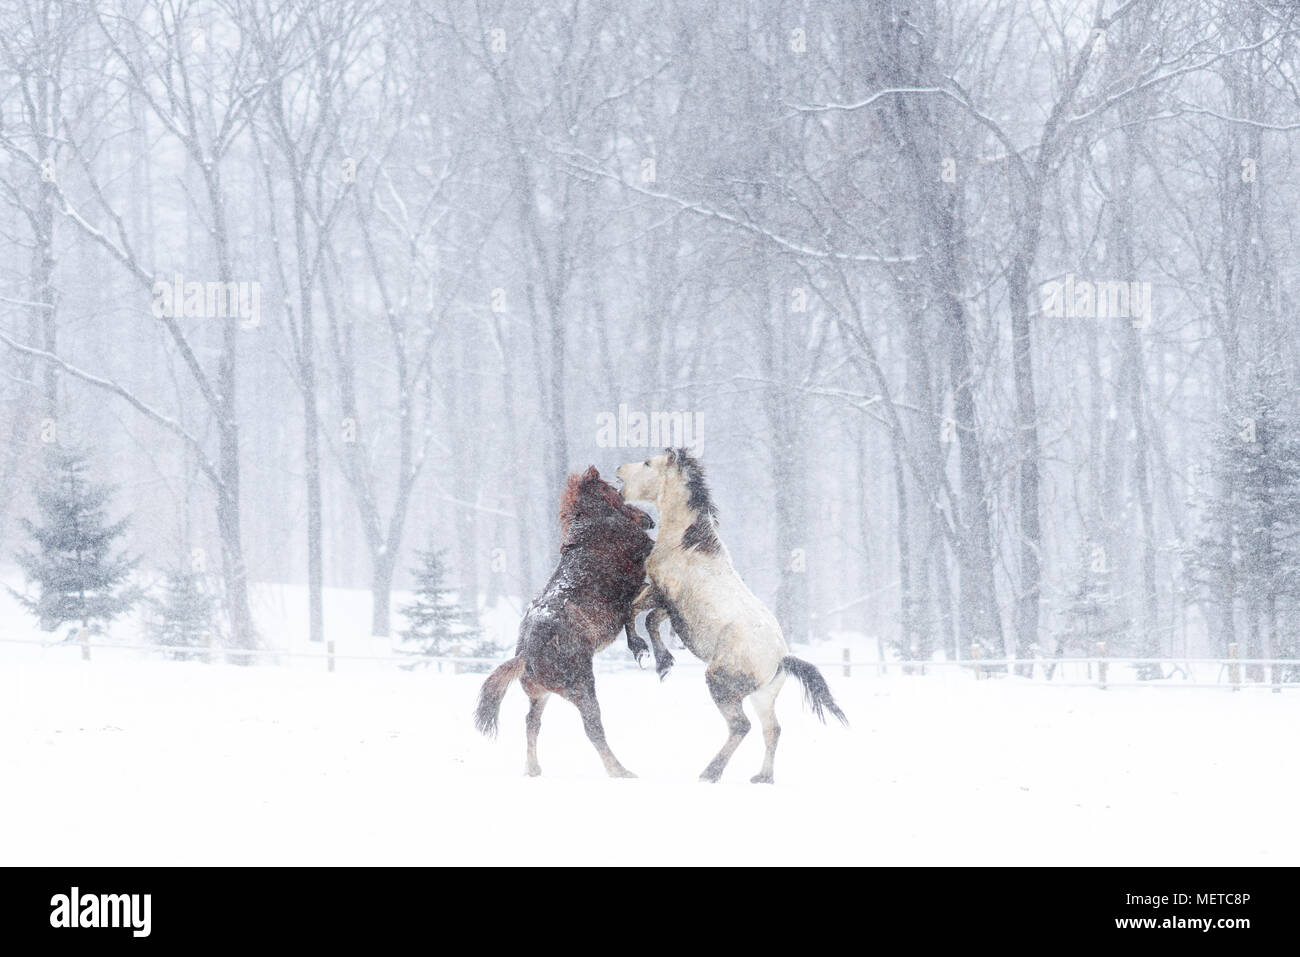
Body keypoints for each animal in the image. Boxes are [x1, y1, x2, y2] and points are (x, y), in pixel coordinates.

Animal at [474, 466, 655, 778]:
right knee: (593, 729)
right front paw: (641, 648)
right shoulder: (640, 567)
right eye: (614, 492)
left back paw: (533, 769)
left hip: (541, 695)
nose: (648, 519)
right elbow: (636, 606)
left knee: (532, 723)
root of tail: (525, 656)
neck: (594, 527)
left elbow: (632, 613)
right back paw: (621, 771)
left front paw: (639, 648)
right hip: (581, 688)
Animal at [617, 448, 847, 783]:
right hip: (762, 697)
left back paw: (710, 773)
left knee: (741, 726)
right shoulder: (671, 607)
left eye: (648, 463)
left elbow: (636, 613)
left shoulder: (661, 593)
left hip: (721, 684)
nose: (619, 470)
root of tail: (782, 659)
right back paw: (762, 777)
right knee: (772, 729)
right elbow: (651, 619)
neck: (685, 545)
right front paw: (664, 663)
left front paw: (647, 655)